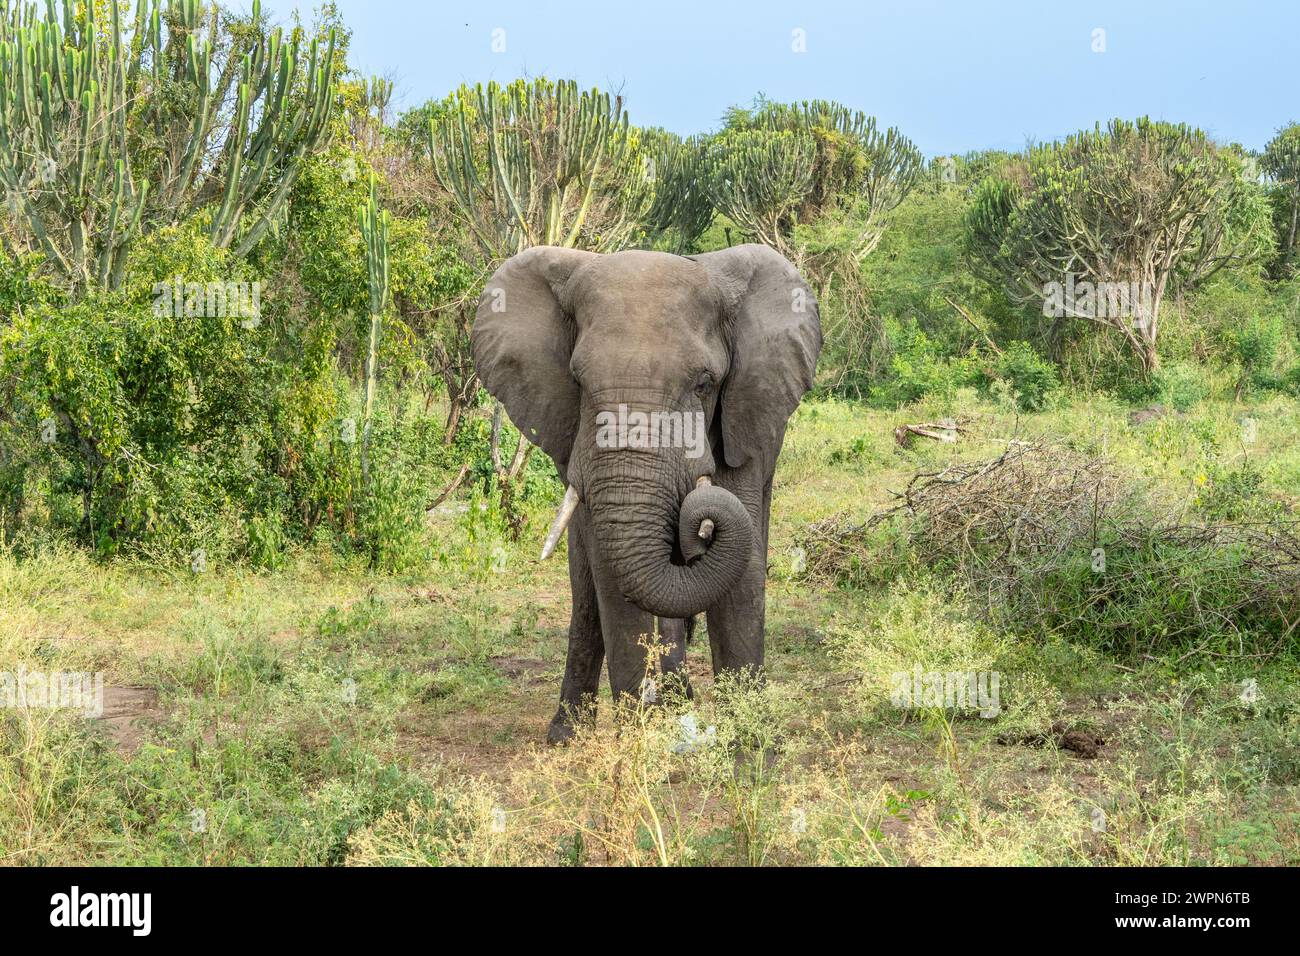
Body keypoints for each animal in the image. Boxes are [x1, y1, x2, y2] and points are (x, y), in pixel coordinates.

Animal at [472, 243, 822, 744]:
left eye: (704, 384)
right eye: (578, 382)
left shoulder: (746, 411)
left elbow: (745, 566)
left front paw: (751, 745)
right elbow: (609, 572)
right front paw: (637, 741)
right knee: (586, 591)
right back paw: (571, 734)